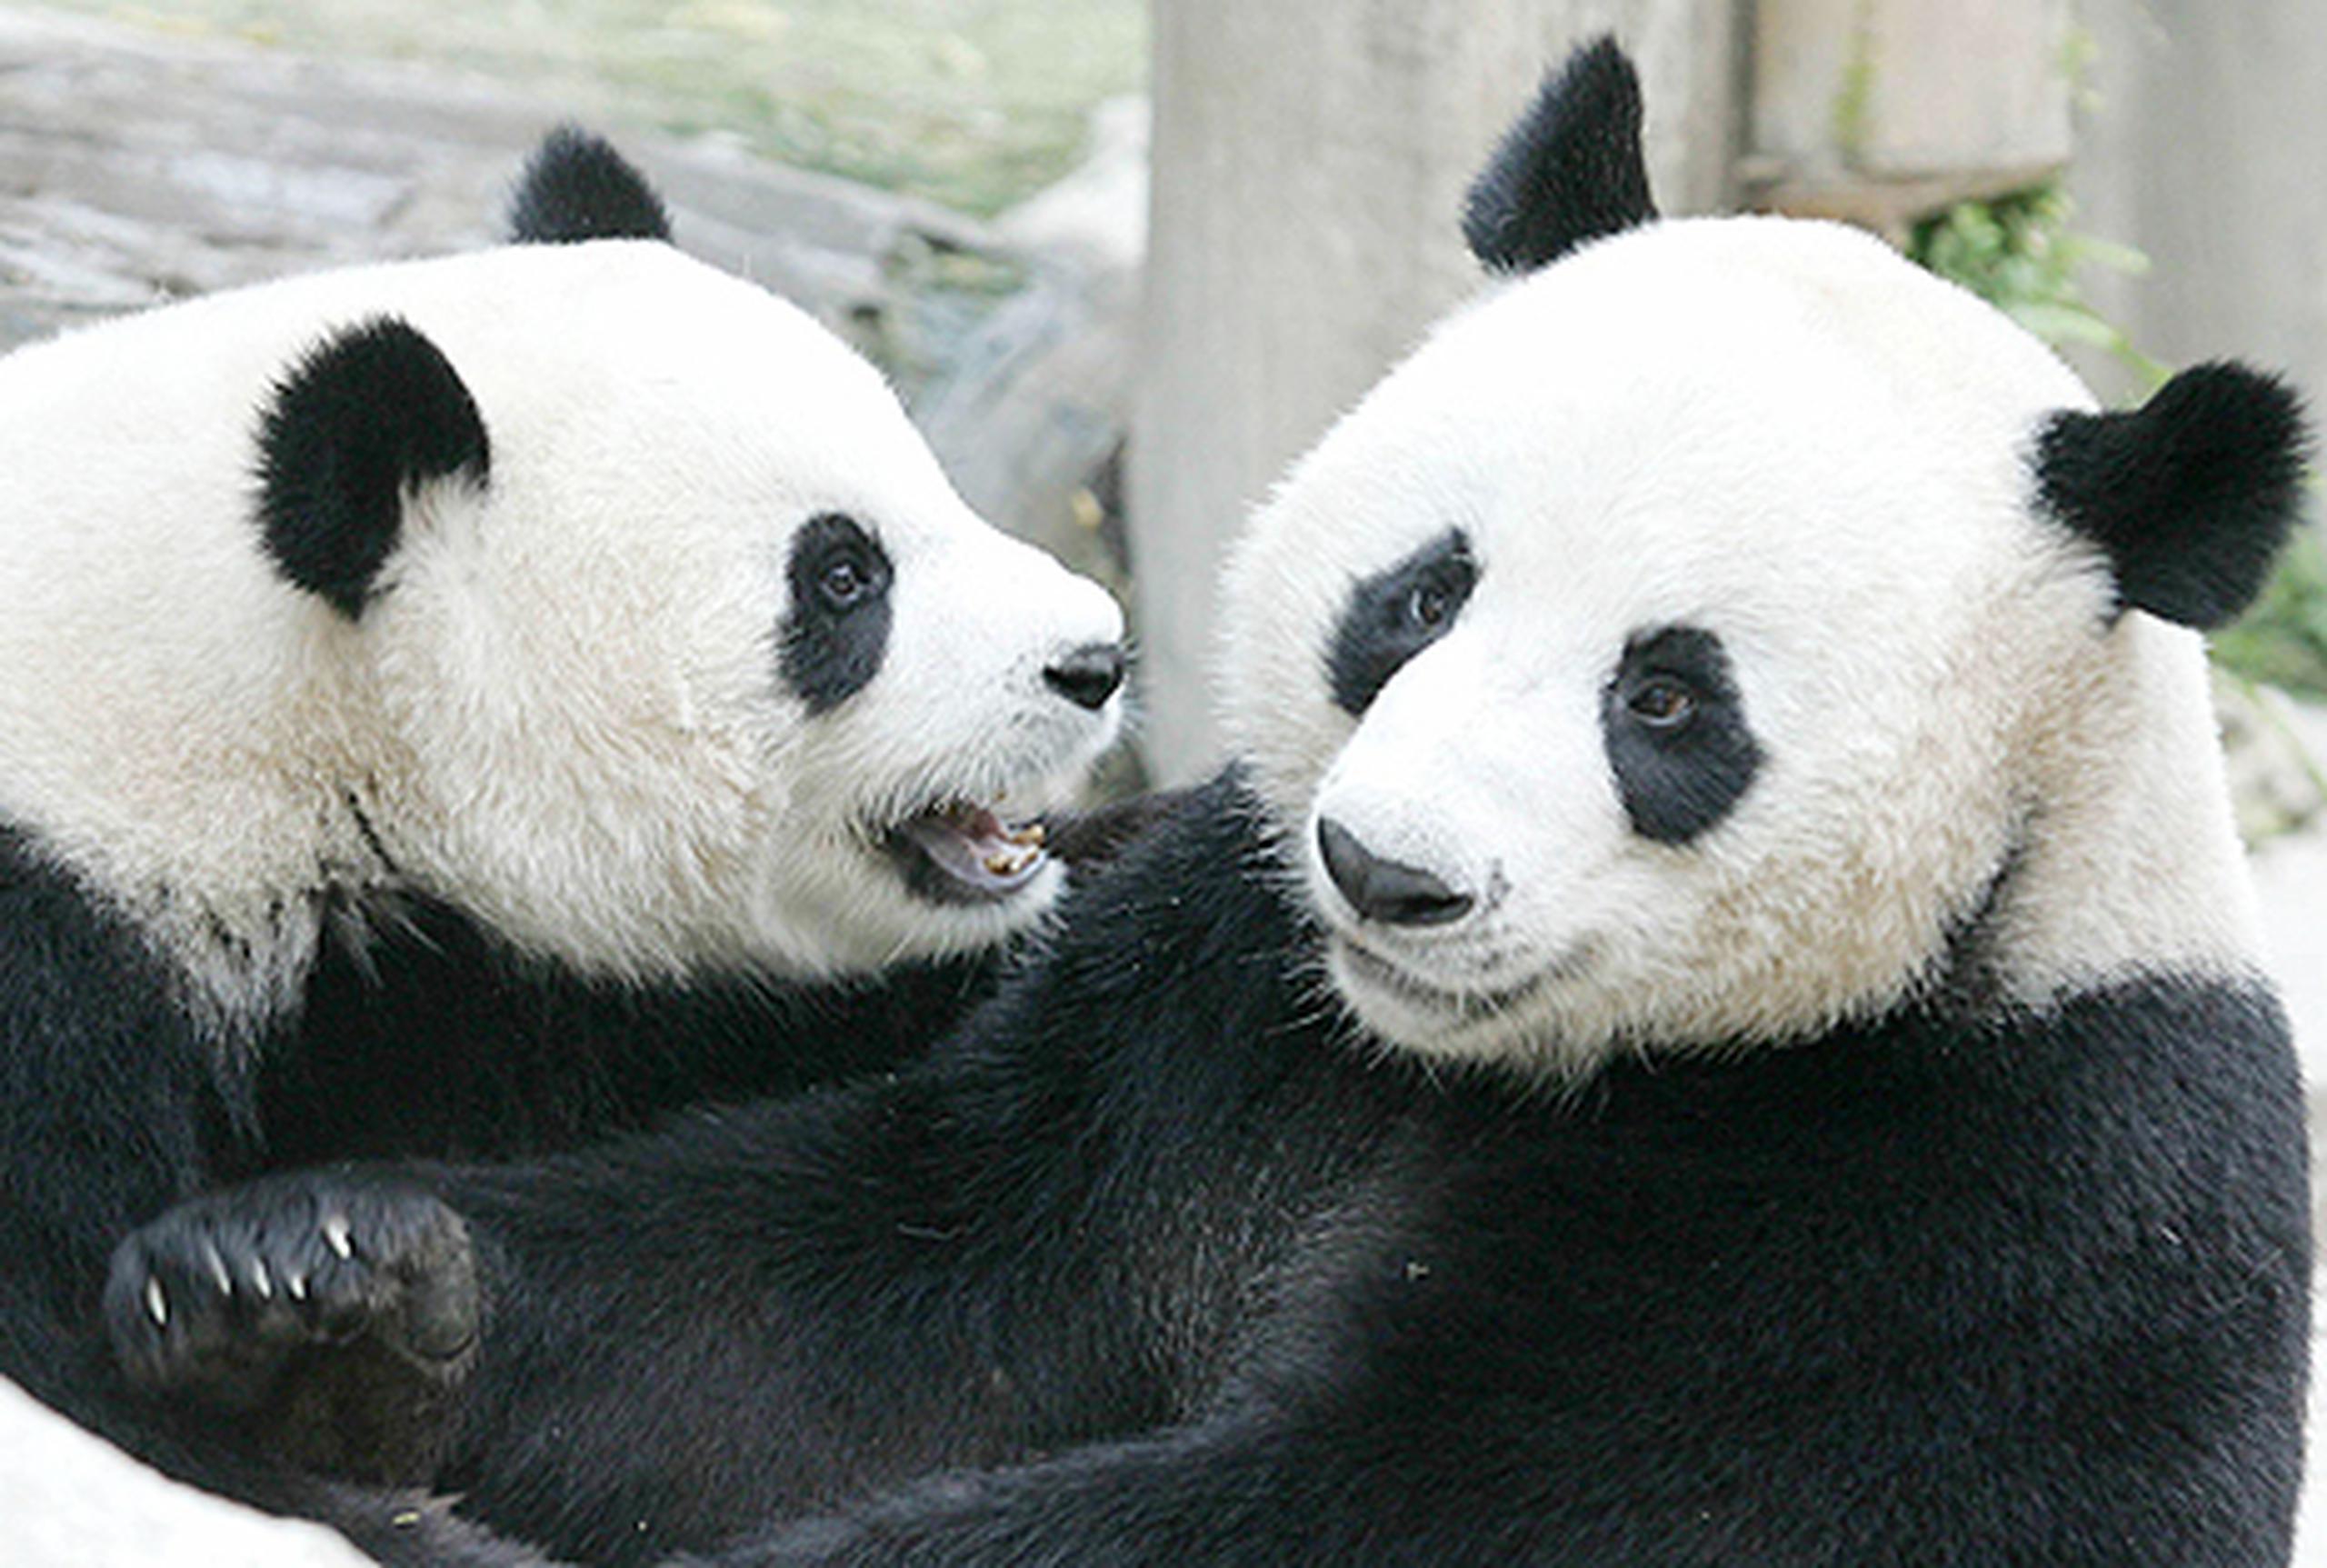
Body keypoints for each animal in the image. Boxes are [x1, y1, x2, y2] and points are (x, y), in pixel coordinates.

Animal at [1, 131, 1127, 1556]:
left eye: (936, 484)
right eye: (842, 578)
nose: (1094, 658)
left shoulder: (459, 992)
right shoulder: (50, 955)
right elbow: (77, 1382)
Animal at [115, 42, 2311, 1568]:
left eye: (1669, 699)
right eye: (1418, 594)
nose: (1391, 875)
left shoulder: (1950, 1223)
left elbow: (1437, 1504)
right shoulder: (1208, 1014)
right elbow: (841, 1312)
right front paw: (310, 1286)